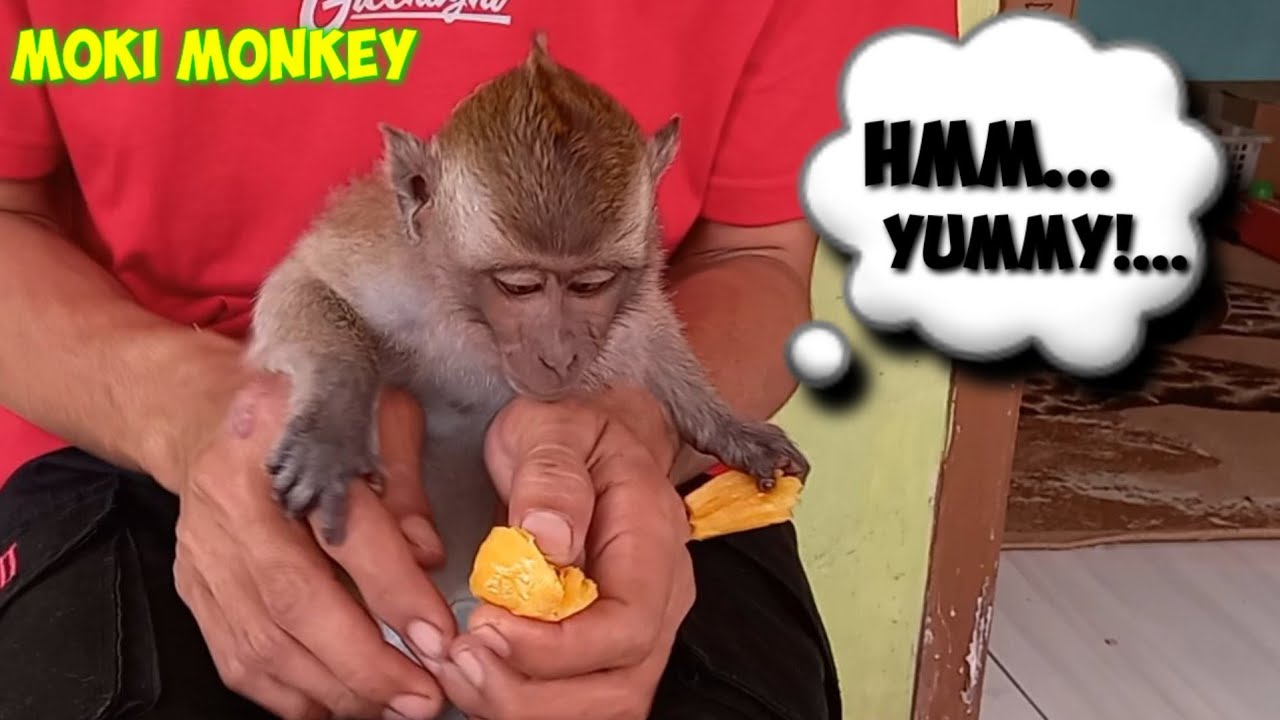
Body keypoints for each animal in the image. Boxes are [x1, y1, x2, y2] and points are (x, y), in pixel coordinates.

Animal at [246, 32, 810, 601]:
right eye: (519, 286)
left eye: (591, 284)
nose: (558, 354)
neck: (472, 321)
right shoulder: (390, 260)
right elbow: (299, 283)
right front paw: (334, 426)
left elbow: (655, 342)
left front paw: (726, 427)